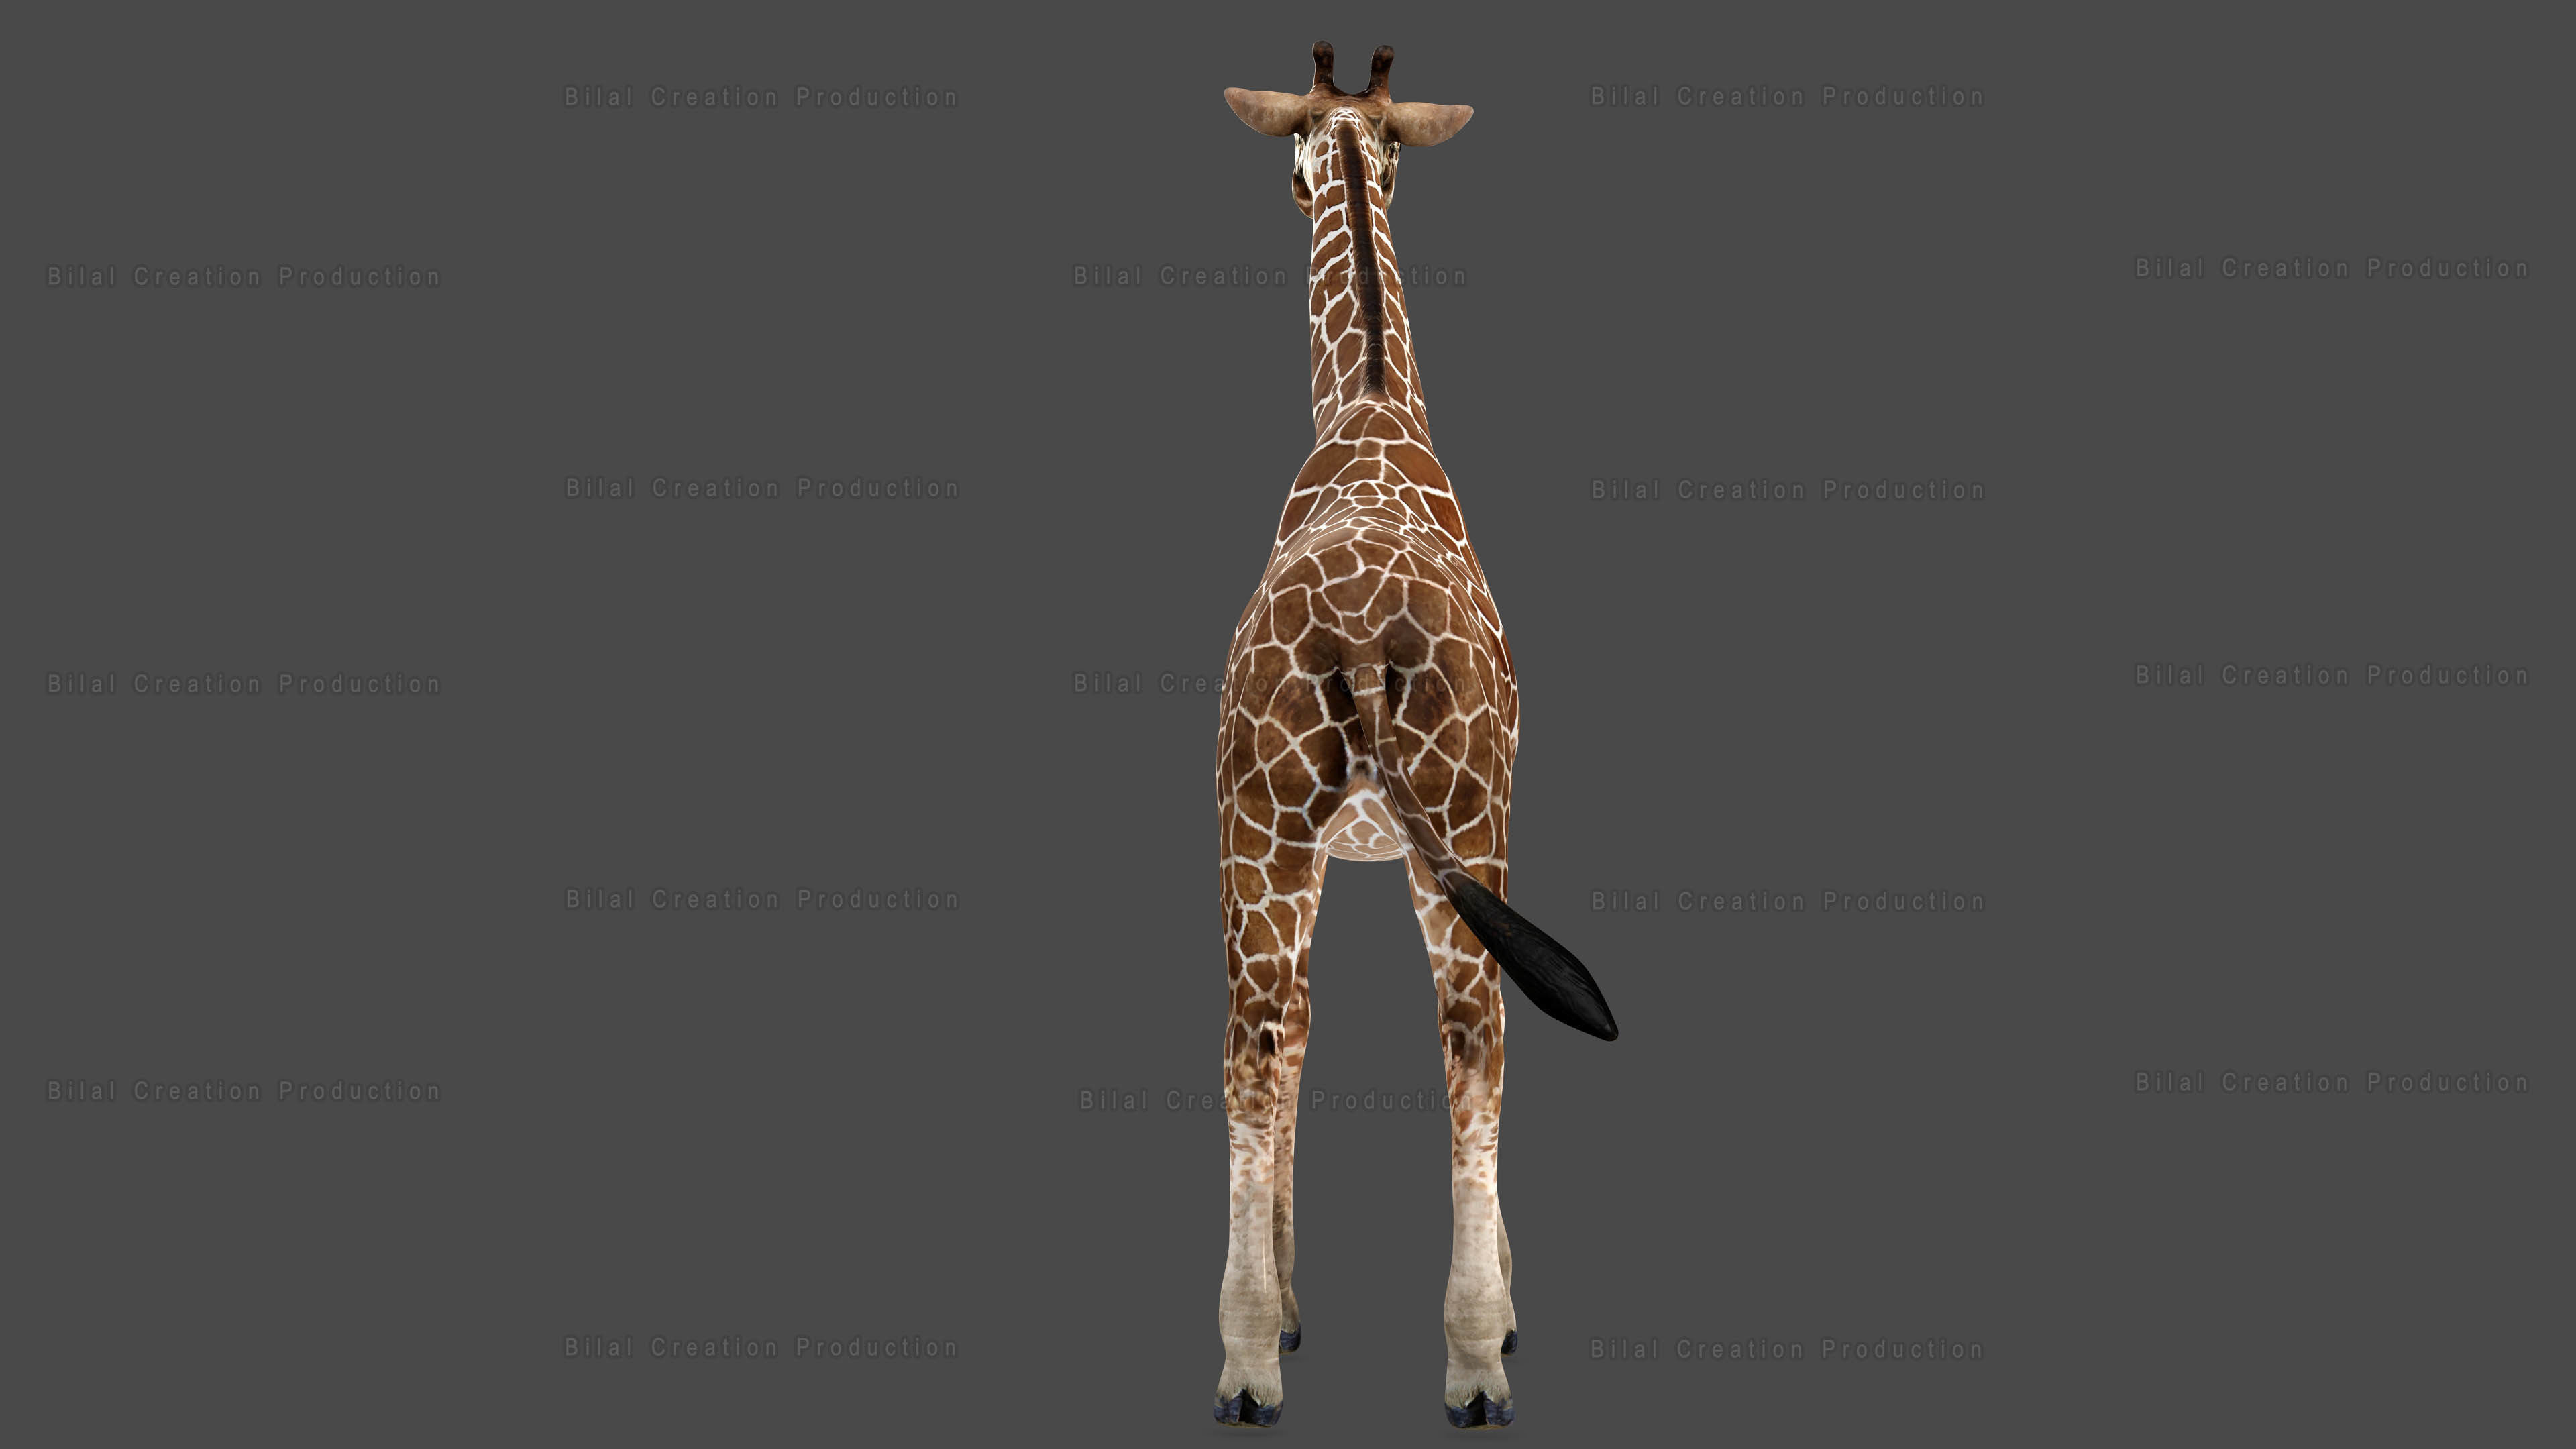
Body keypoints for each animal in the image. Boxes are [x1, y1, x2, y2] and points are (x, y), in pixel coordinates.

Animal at [1210, 43, 1619, 1430]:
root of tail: (1361, 647)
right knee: (1456, 1032)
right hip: (1424, 822)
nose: (1296, 185)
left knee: (1279, 1033)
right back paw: (1456, 1361)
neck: (1373, 417)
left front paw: (1288, 1311)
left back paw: (1262, 1367)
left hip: (1284, 828)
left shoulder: (1338, 848)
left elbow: (1304, 1033)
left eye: (1297, 162)